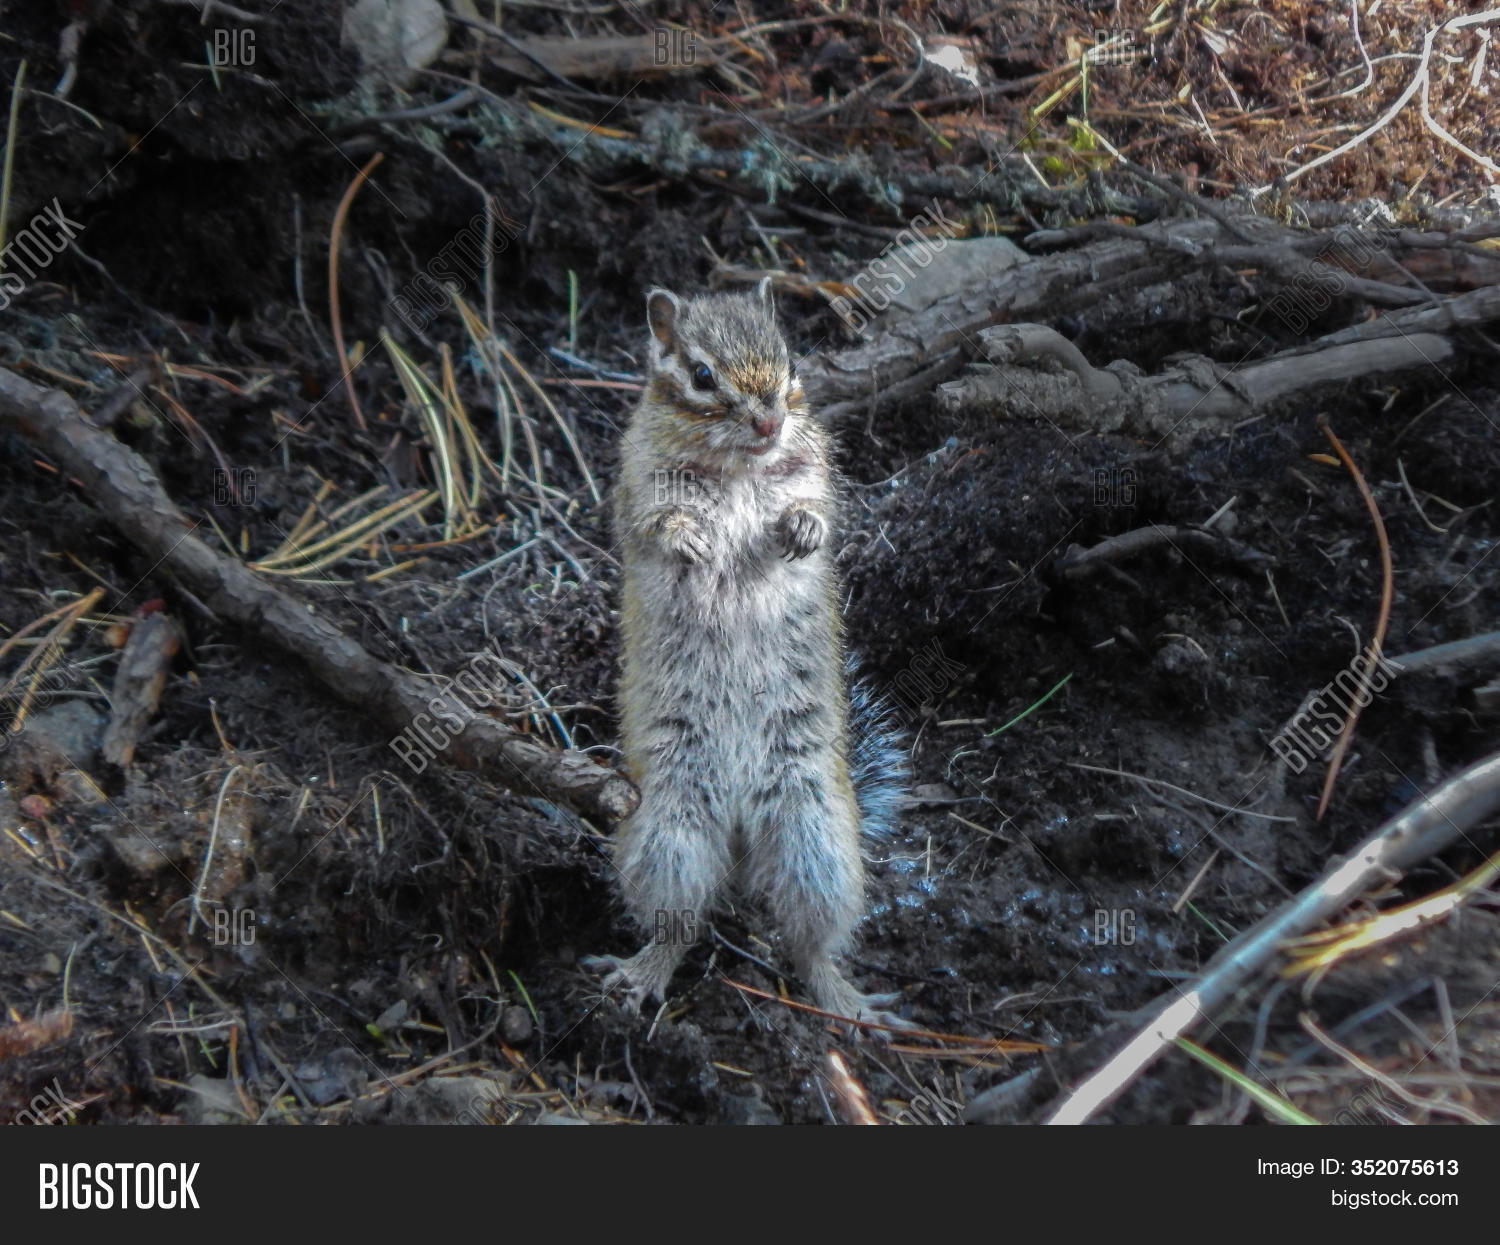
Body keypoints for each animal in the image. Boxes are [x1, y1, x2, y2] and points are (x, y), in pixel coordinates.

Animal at [582, 279, 908, 1027]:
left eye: (791, 363)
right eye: (702, 376)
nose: (768, 424)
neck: (737, 468)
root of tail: (736, 836)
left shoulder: (813, 472)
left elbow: (819, 512)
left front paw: (803, 528)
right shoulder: (638, 487)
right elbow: (655, 525)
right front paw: (689, 538)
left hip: (815, 841)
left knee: (808, 943)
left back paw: (847, 1002)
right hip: (668, 833)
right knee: (677, 923)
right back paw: (641, 974)